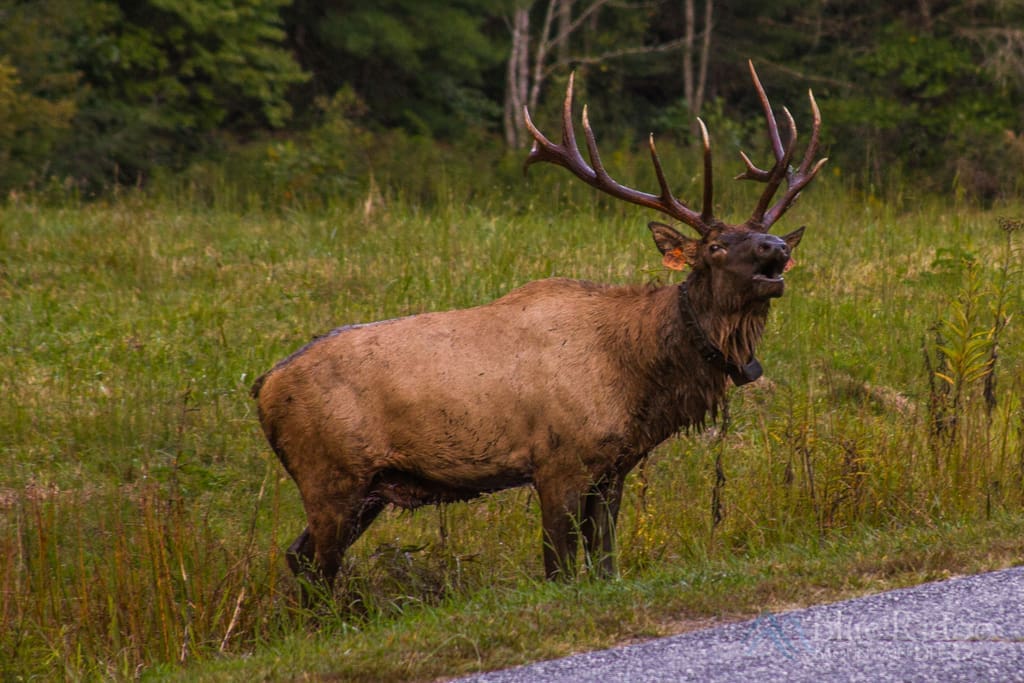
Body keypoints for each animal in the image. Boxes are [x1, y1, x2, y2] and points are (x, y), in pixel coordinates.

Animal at [252, 61, 826, 606]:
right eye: (715, 247)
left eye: (764, 234)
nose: (777, 248)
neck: (637, 379)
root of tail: (261, 388)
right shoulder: (557, 461)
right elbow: (559, 568)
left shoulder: (613, 467)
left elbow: (605, 561)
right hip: (329, 474)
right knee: (317, 562)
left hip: (367, 488)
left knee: (299, 555)